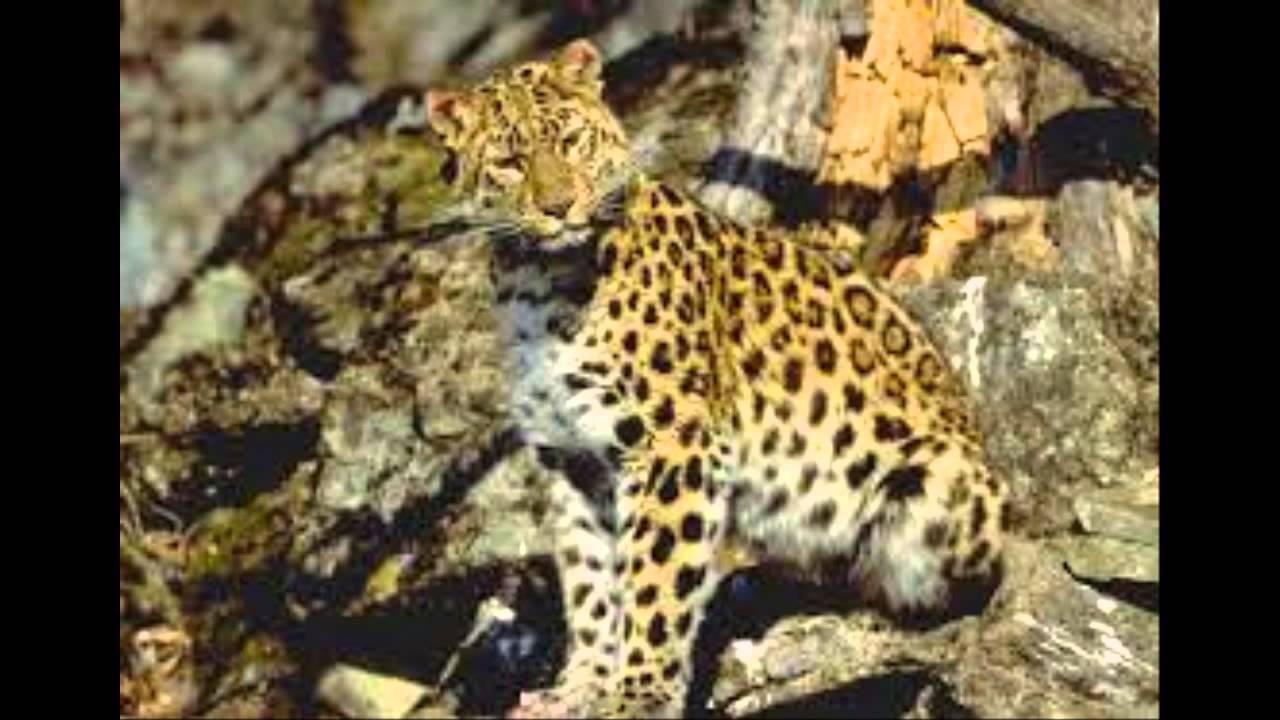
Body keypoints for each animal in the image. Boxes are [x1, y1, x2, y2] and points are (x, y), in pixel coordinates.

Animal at [424, 39, 1010, 718]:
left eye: (570, 141)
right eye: (510, 163)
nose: (558, 206)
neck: (535, 282)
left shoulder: (673, 444)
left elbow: (653, 581)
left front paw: (641, 693)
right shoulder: (573, 460)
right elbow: (592, 582)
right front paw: (584, 683)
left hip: (931, 483)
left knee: (945, 588)